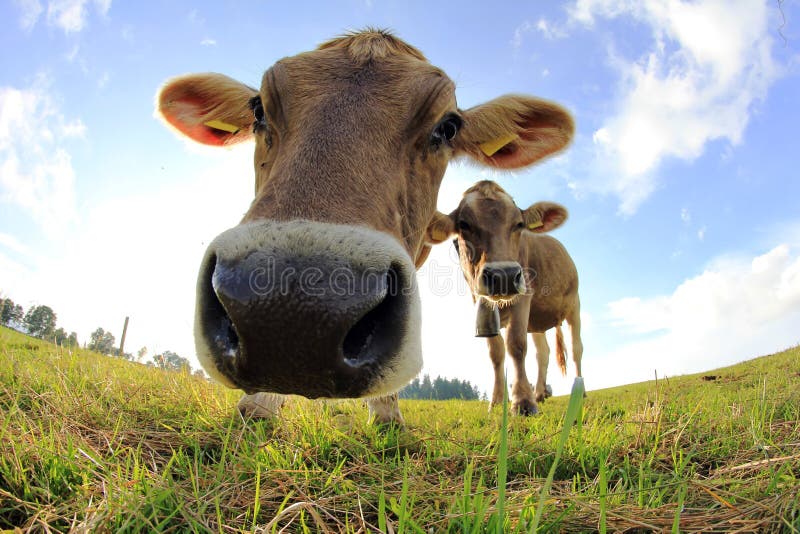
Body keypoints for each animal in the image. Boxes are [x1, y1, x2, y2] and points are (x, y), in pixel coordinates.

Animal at [425, 180, 582, 416]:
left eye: (519, 224)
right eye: (464, 224)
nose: (503, 276)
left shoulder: (523, 296)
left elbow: (516, 345)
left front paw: (522, 401)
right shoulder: (482, 303)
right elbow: (496, 352)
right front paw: (498, 401)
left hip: (574, 305)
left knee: (576, 348)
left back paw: (579, 391)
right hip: (537, 321)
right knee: (543, 353)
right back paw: (539, 393)